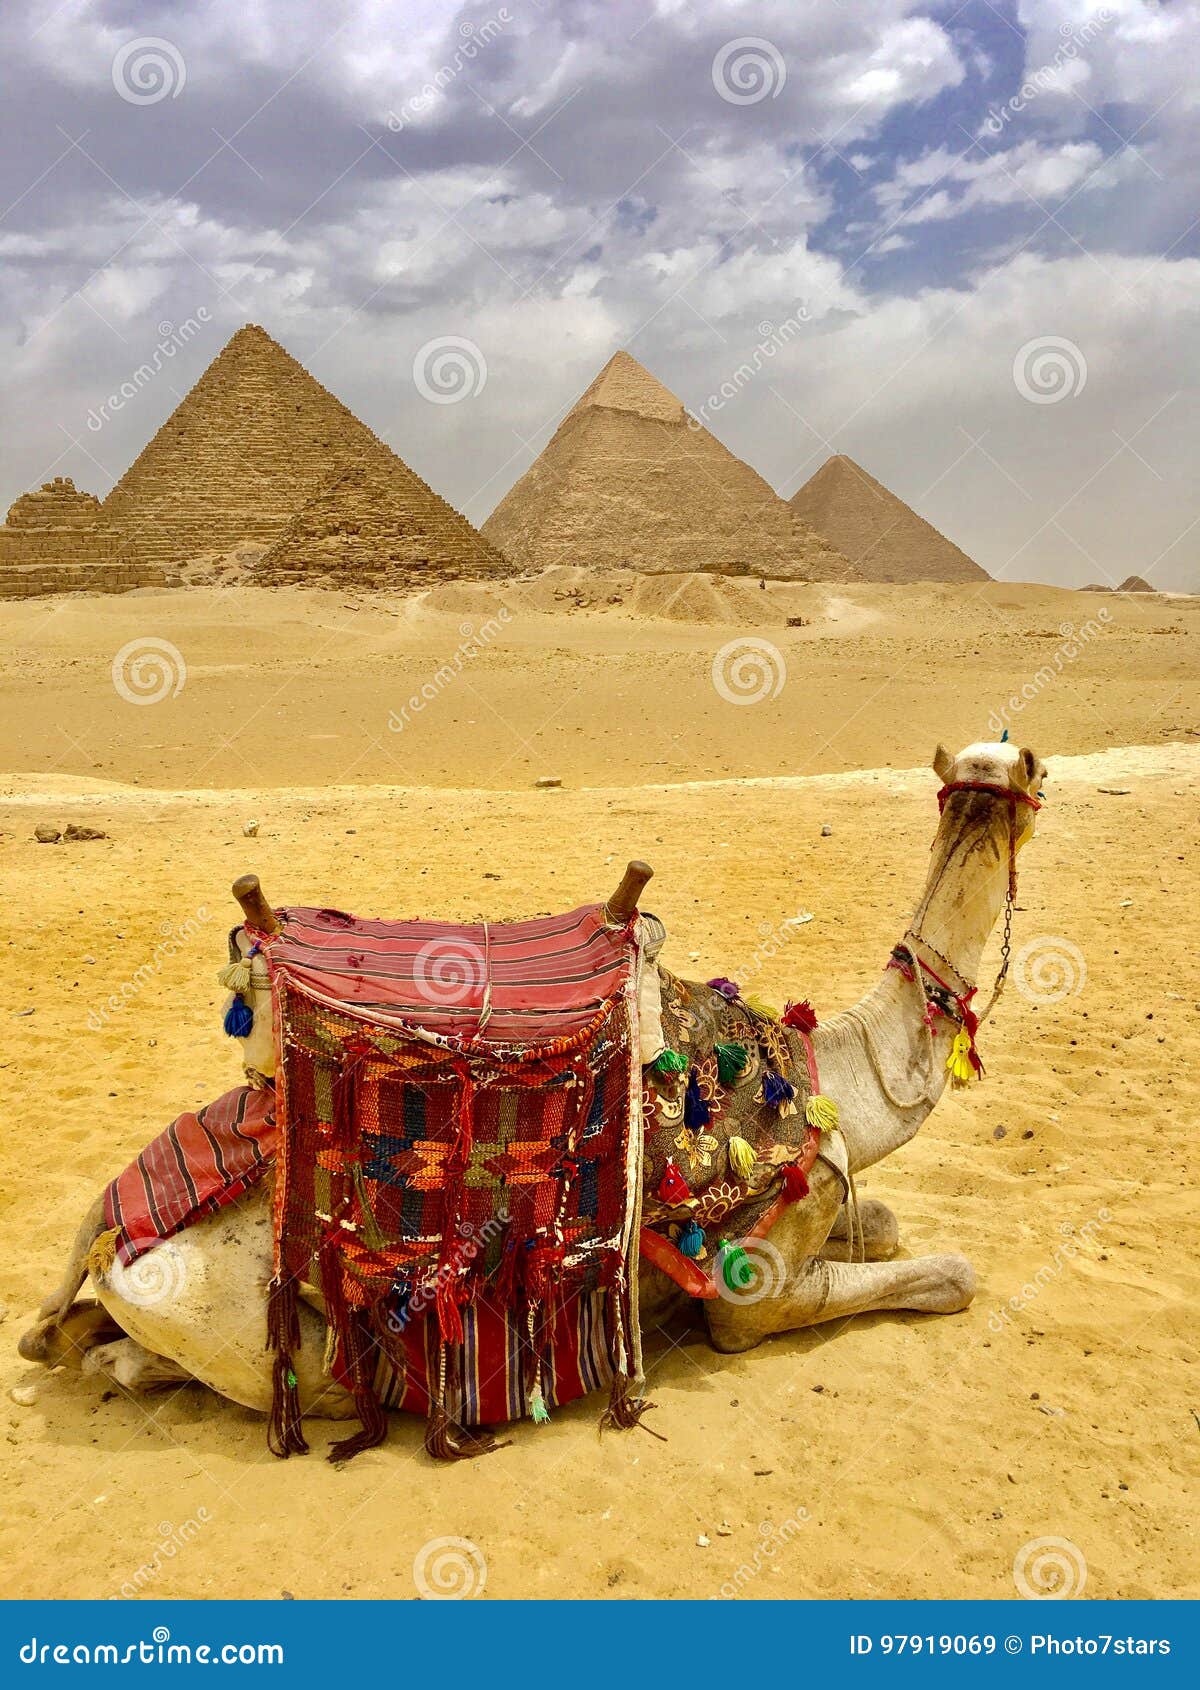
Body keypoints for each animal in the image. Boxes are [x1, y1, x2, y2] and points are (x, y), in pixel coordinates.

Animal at [20, 738, 1046, 1432]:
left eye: (1019, 766)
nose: (1003, 776)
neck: (834, 1080)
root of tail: (110, 1232)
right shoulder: (754, 1284)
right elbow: (945, 1275)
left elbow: (886, 1222)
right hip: (268, 1333)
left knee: (98, 1353)